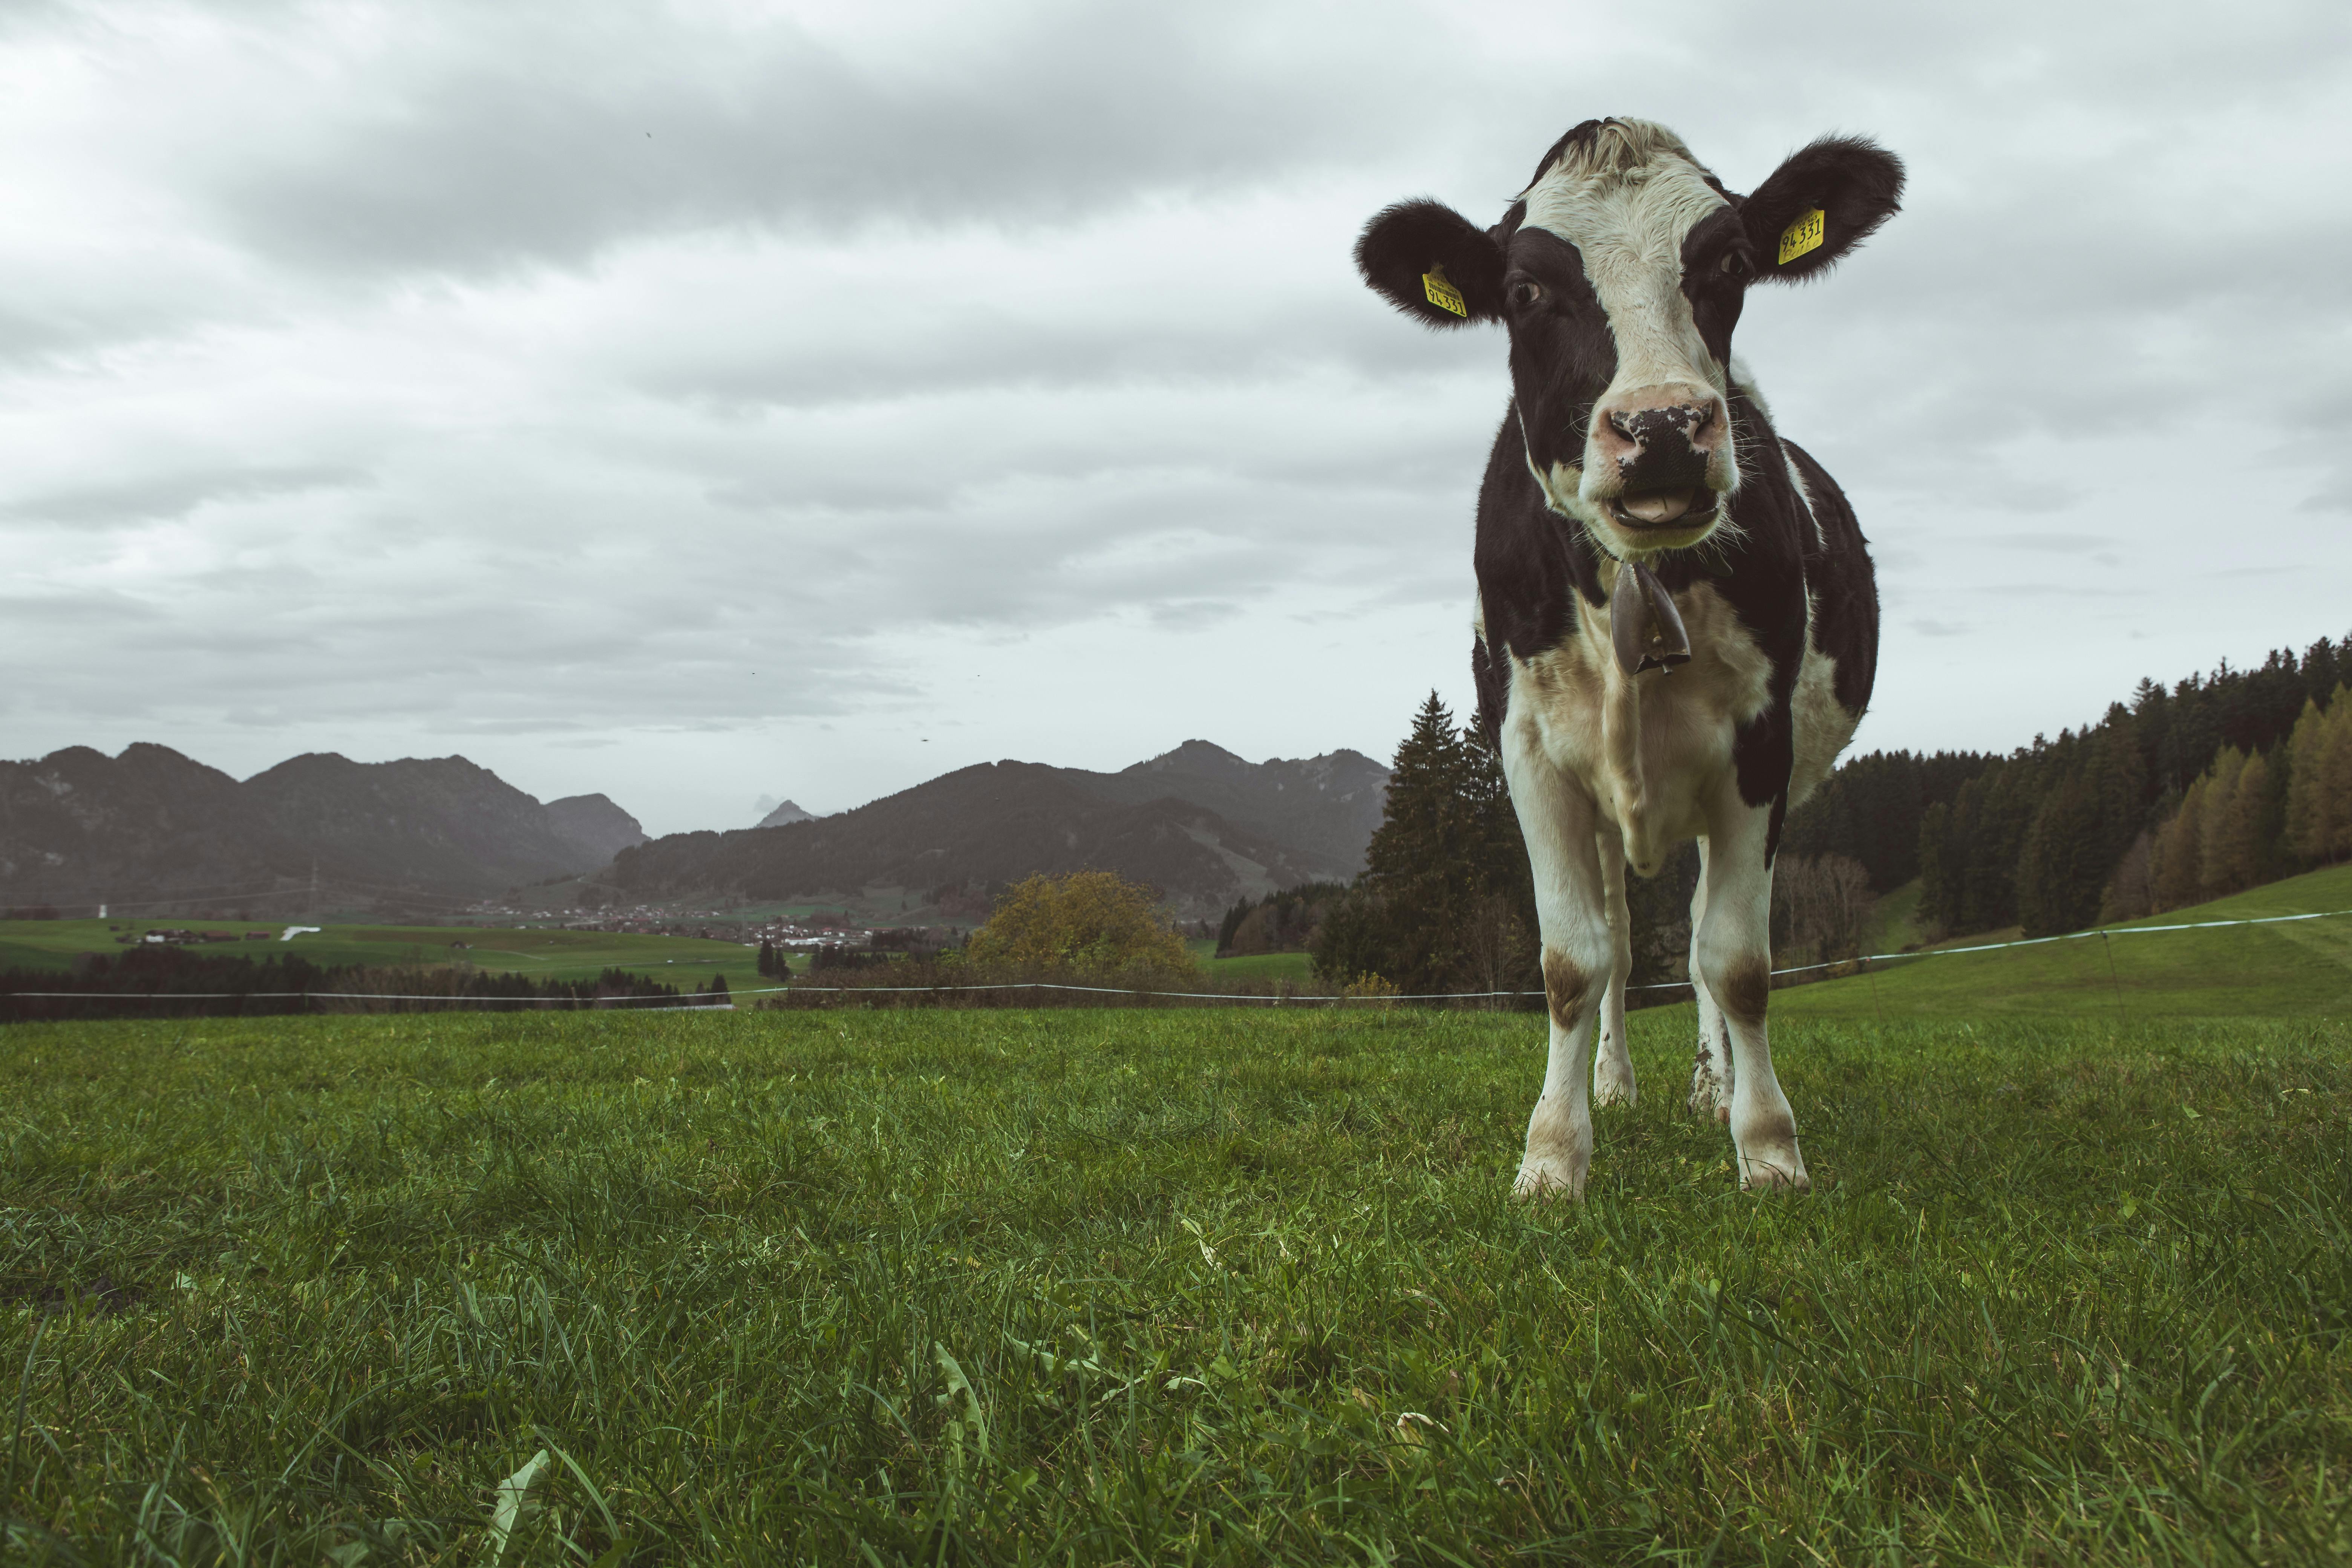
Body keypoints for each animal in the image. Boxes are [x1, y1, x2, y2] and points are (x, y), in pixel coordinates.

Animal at [1354, 118, 1902, 1196]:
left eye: (1728, 262)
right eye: (1526, 289)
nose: (1662, 428)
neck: (1634, 579)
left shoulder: (1760, 752)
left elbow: (1736, 961)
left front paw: (1766, 1147)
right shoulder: (1527, 750)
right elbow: (1574, 962)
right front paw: (1553, 1158)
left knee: (1691, 944)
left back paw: (1709, 1088)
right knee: (1615, 927)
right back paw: (1614, 1084)